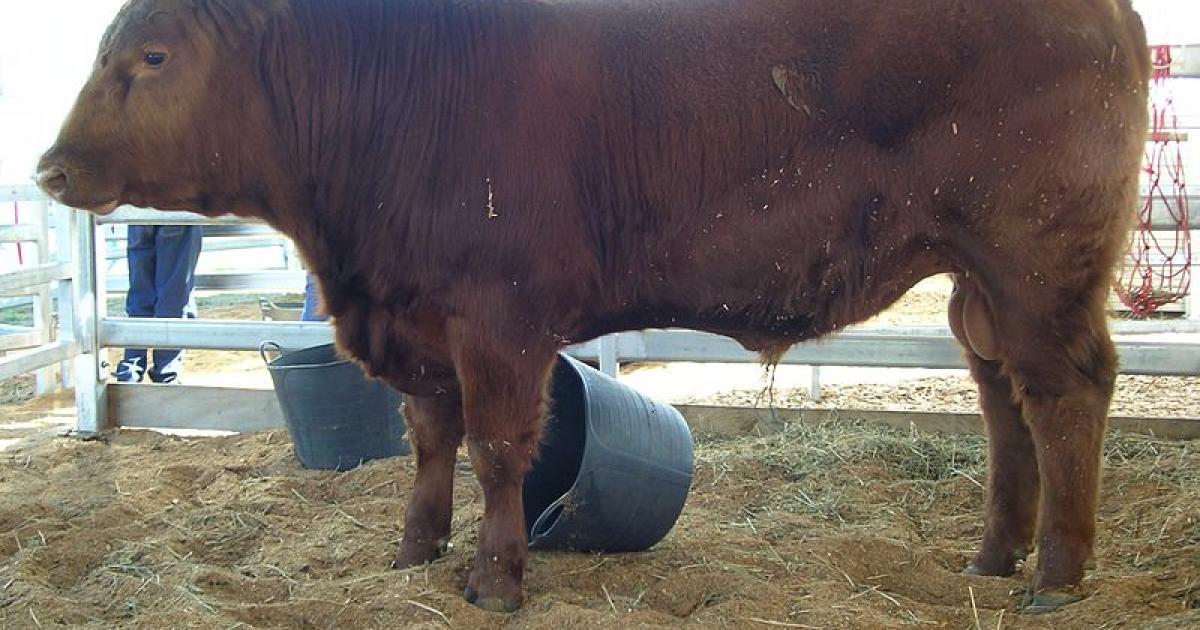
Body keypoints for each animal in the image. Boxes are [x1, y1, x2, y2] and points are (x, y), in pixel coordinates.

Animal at [37, 0, 1150, 614]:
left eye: (152, 57)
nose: (48, 167)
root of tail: (1109, 13)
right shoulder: (420, 319)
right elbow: (429, 441)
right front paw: (412, 550)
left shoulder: (497, 319)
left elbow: (495, 449)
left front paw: (495, 580)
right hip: (979, 283)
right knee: (1003, 401)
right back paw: (995, 555)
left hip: (1036, 261)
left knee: (1066, 394)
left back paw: (1057, 573)